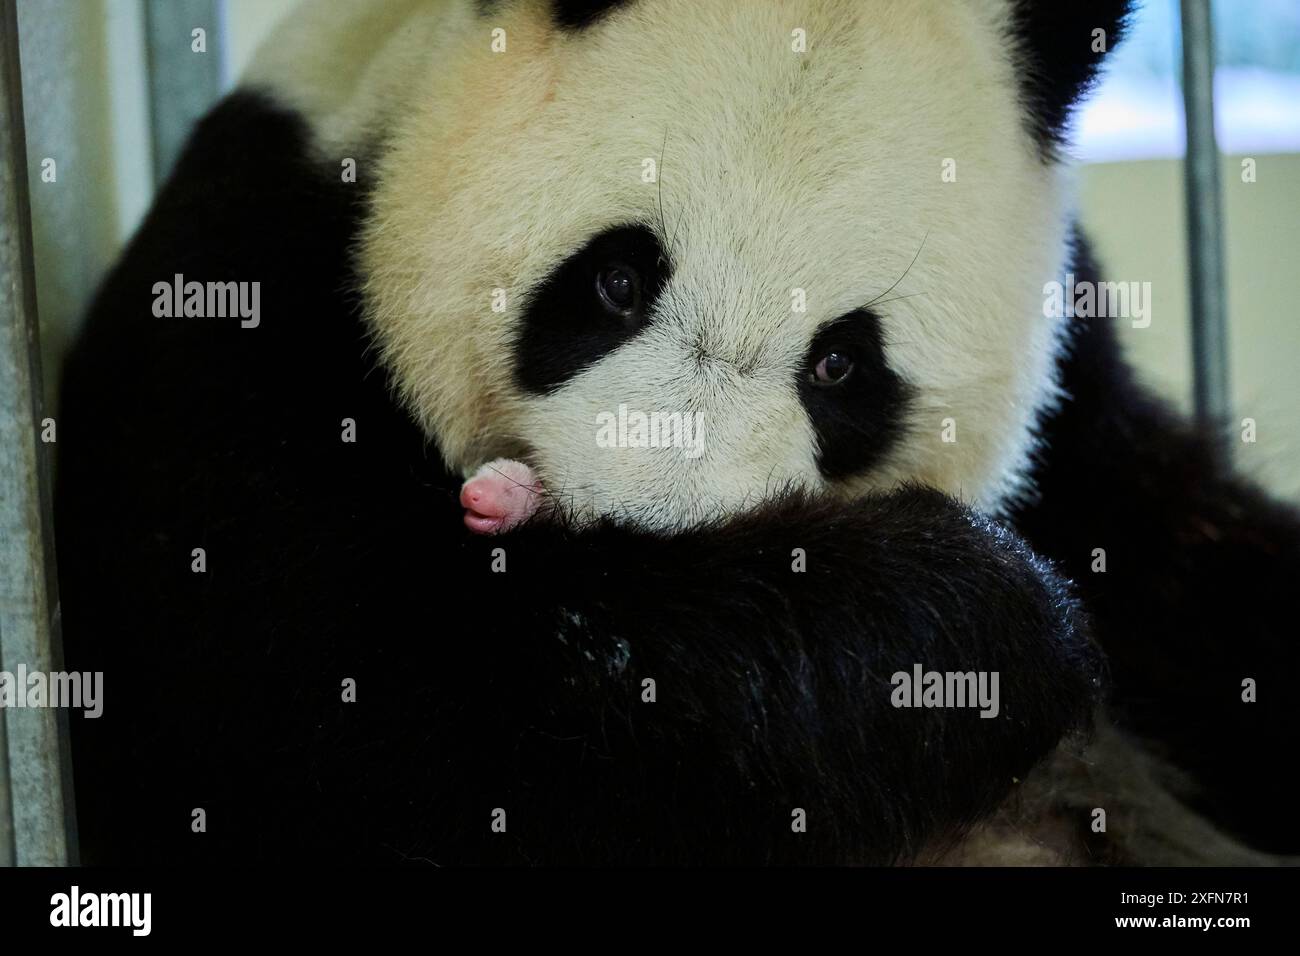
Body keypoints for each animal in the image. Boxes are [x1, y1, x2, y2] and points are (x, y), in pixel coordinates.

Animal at [54, 0, 1300, 865]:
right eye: (617, 279)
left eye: (842, 365)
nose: (642, 540)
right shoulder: (241, 328)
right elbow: (370, 732)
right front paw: (990, 617)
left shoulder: (1083, 412)